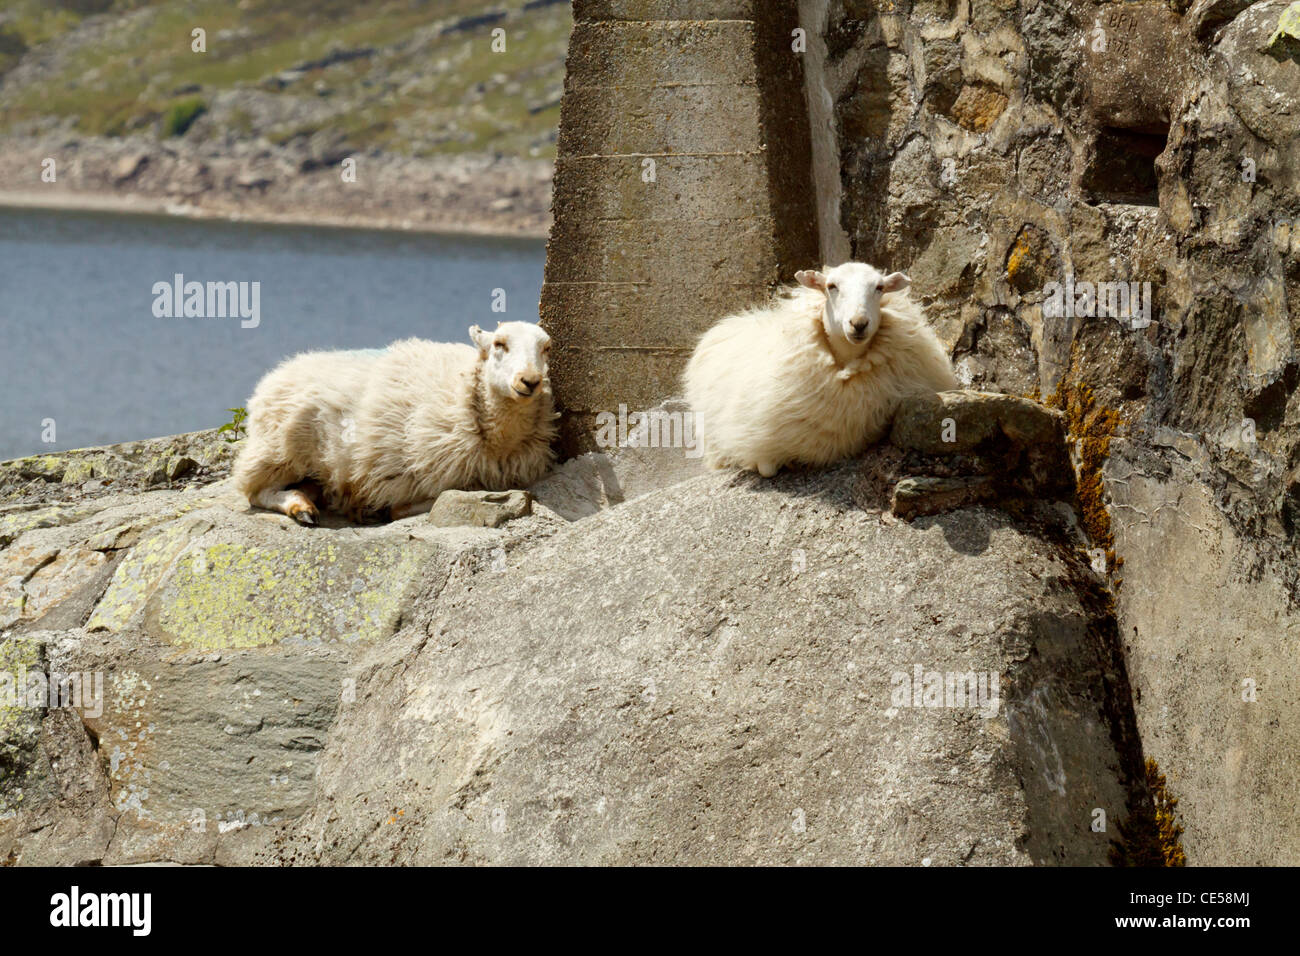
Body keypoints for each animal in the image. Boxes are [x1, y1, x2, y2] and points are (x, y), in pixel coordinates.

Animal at [232, 321, 558, 524]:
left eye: (547, 348)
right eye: (499, 344)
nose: (529, 381)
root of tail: (277, 372)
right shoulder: (437, 475)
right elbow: (415, 505)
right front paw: (383, 509)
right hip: (280, 450)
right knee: (255, 491)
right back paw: (300, 508)